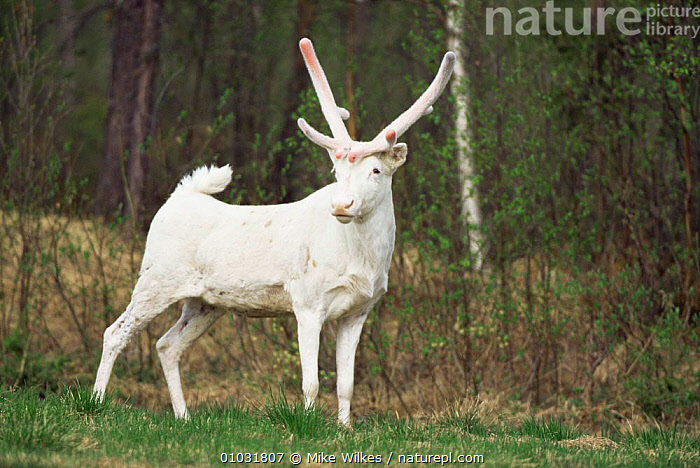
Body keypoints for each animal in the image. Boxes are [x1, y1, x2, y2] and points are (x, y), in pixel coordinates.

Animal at [93, 38, 455, 425]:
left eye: (376, 170)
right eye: (336, 172)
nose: (342, 205)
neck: (365, 261)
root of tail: (177, 197)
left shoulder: (359, 311)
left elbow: (346, 383)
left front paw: (345, 427)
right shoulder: (307, 302)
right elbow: (311, 382)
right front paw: (309, 422)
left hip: (206, 302)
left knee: (167, 344)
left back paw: (183, 416)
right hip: (156, 279)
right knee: (114, 332)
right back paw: (96, 401)